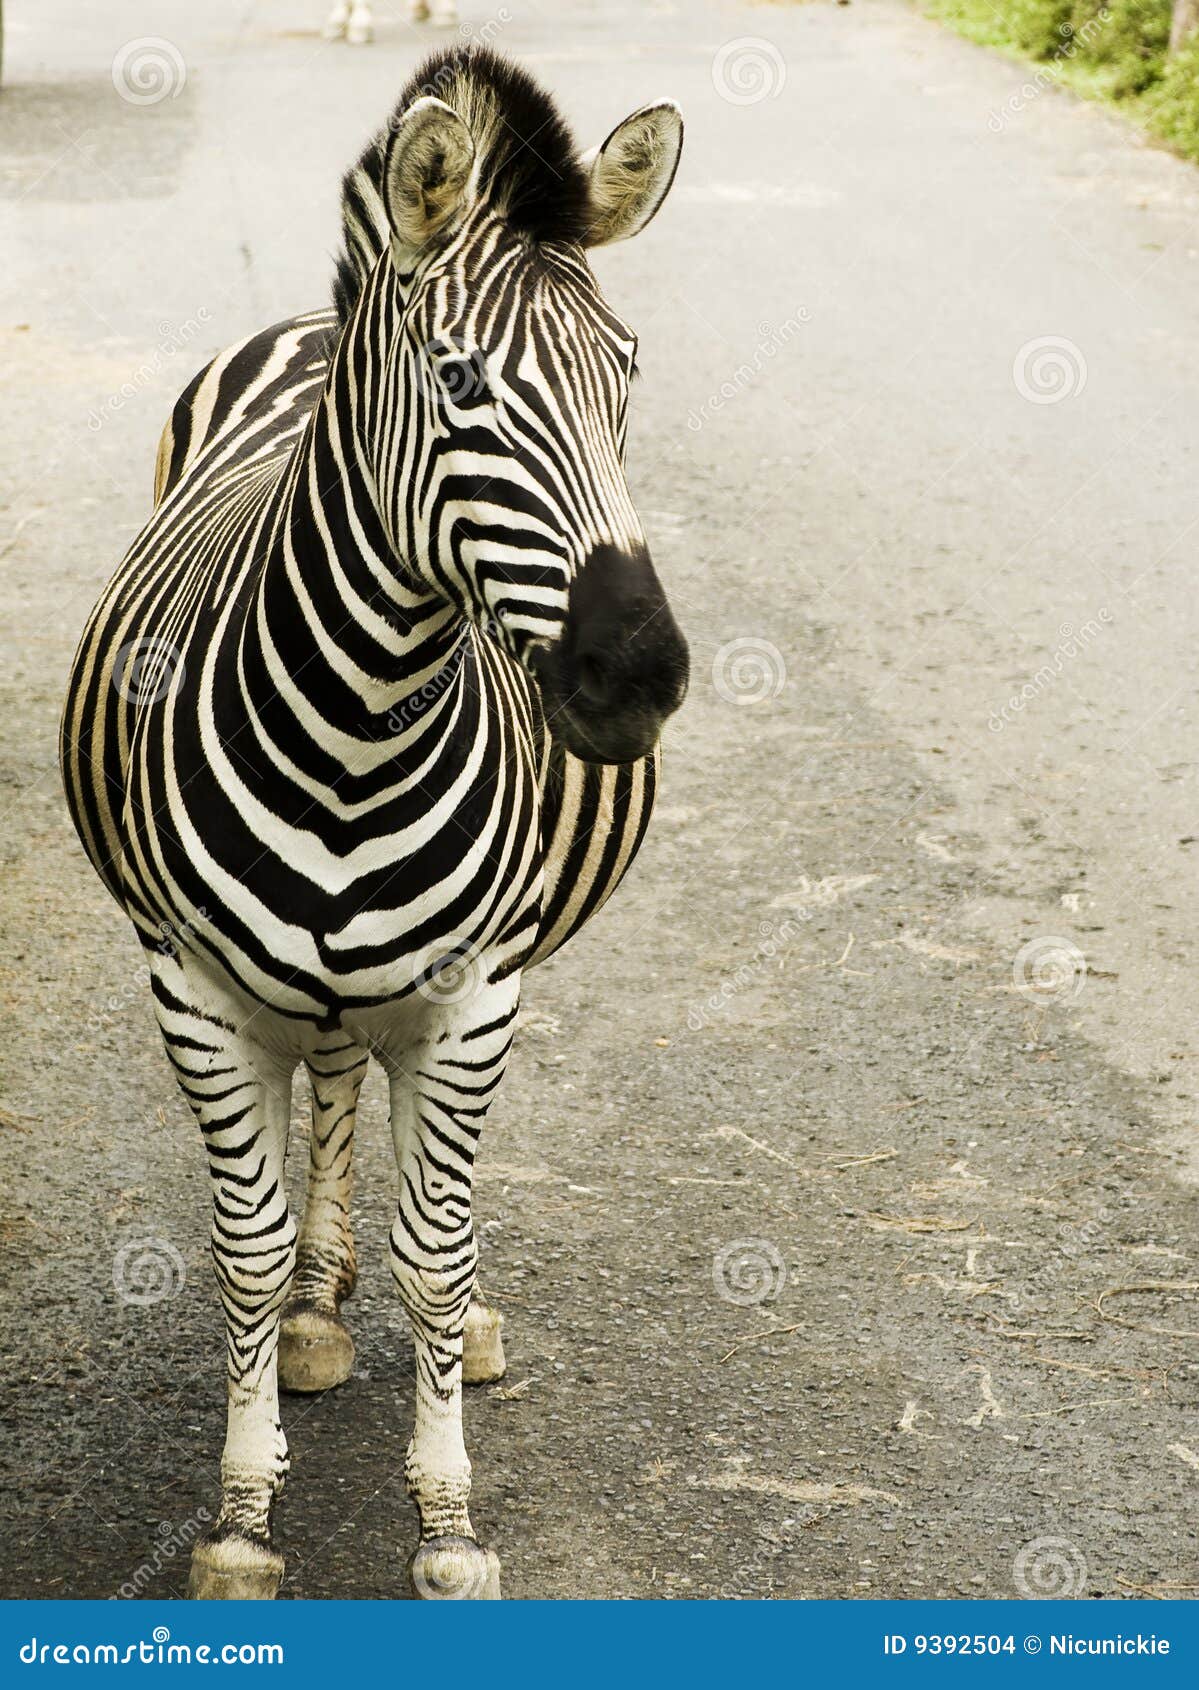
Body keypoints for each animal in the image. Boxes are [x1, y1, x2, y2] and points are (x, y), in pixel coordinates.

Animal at [61, 46, 687, 1600]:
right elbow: (241, 1238)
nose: (637, 675)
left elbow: (441, 1250)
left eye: (627, 376)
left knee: (397, 1147)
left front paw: (449, 1519)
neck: (356, 736)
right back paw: (310, 1308)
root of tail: (311, 314)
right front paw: (238, 1515)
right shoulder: (188, 983)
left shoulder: (475, 995)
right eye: (460, 384)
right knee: (329, 1096)